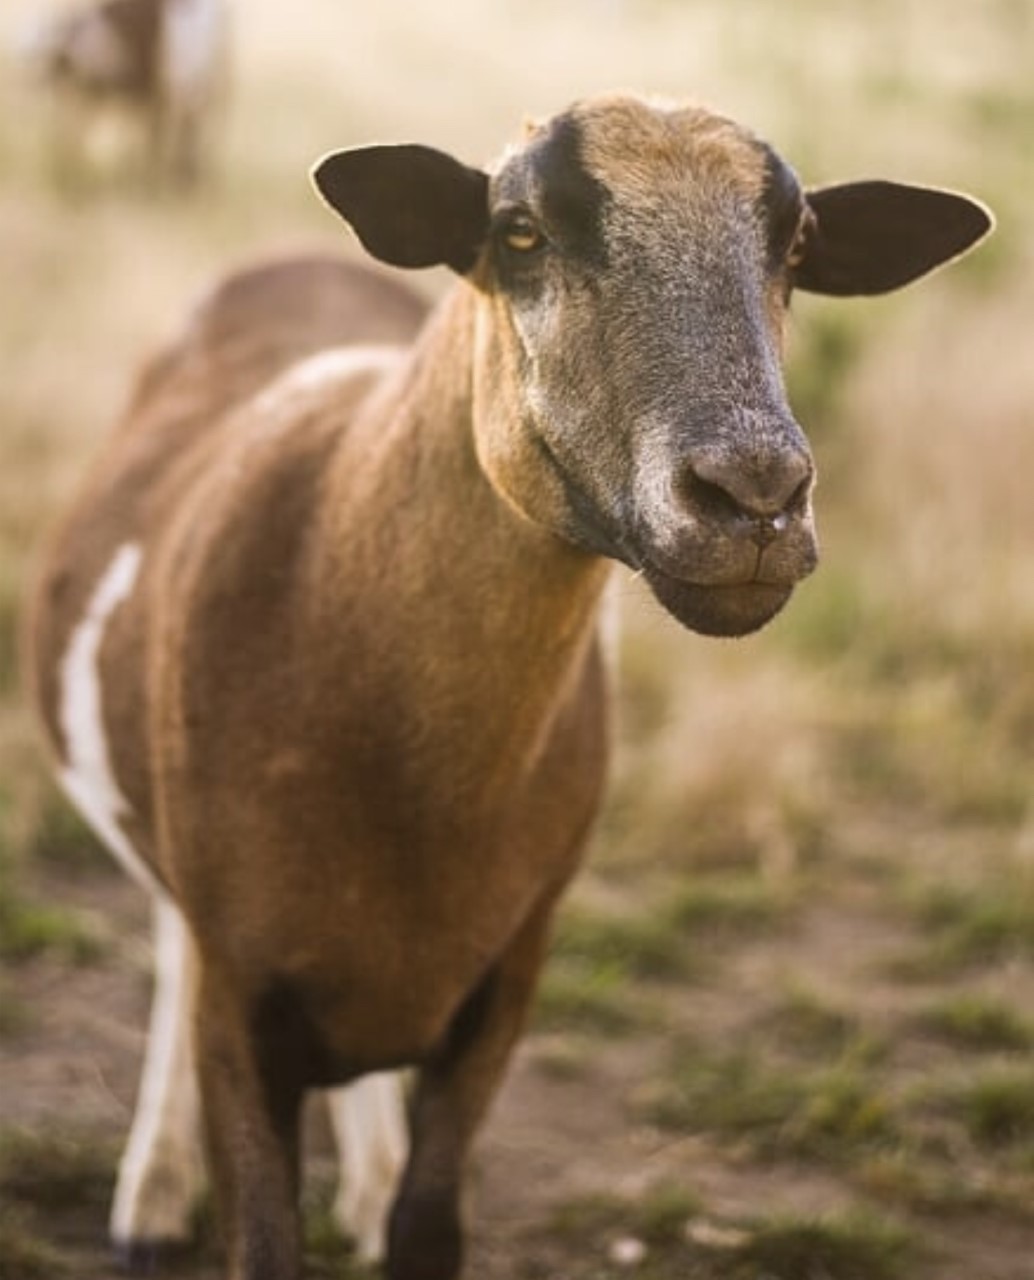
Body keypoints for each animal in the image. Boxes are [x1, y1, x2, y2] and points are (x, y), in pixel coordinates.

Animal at [27, 93, 991, 1280]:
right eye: (519, 232)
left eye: (799, 246)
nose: (755, 498)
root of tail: (299, 256)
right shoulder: (239, 996)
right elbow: (260, 1225)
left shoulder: (505, 978)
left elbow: (428, 1225)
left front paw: (387, 1196)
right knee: (168, 940)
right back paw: (154, 1200)